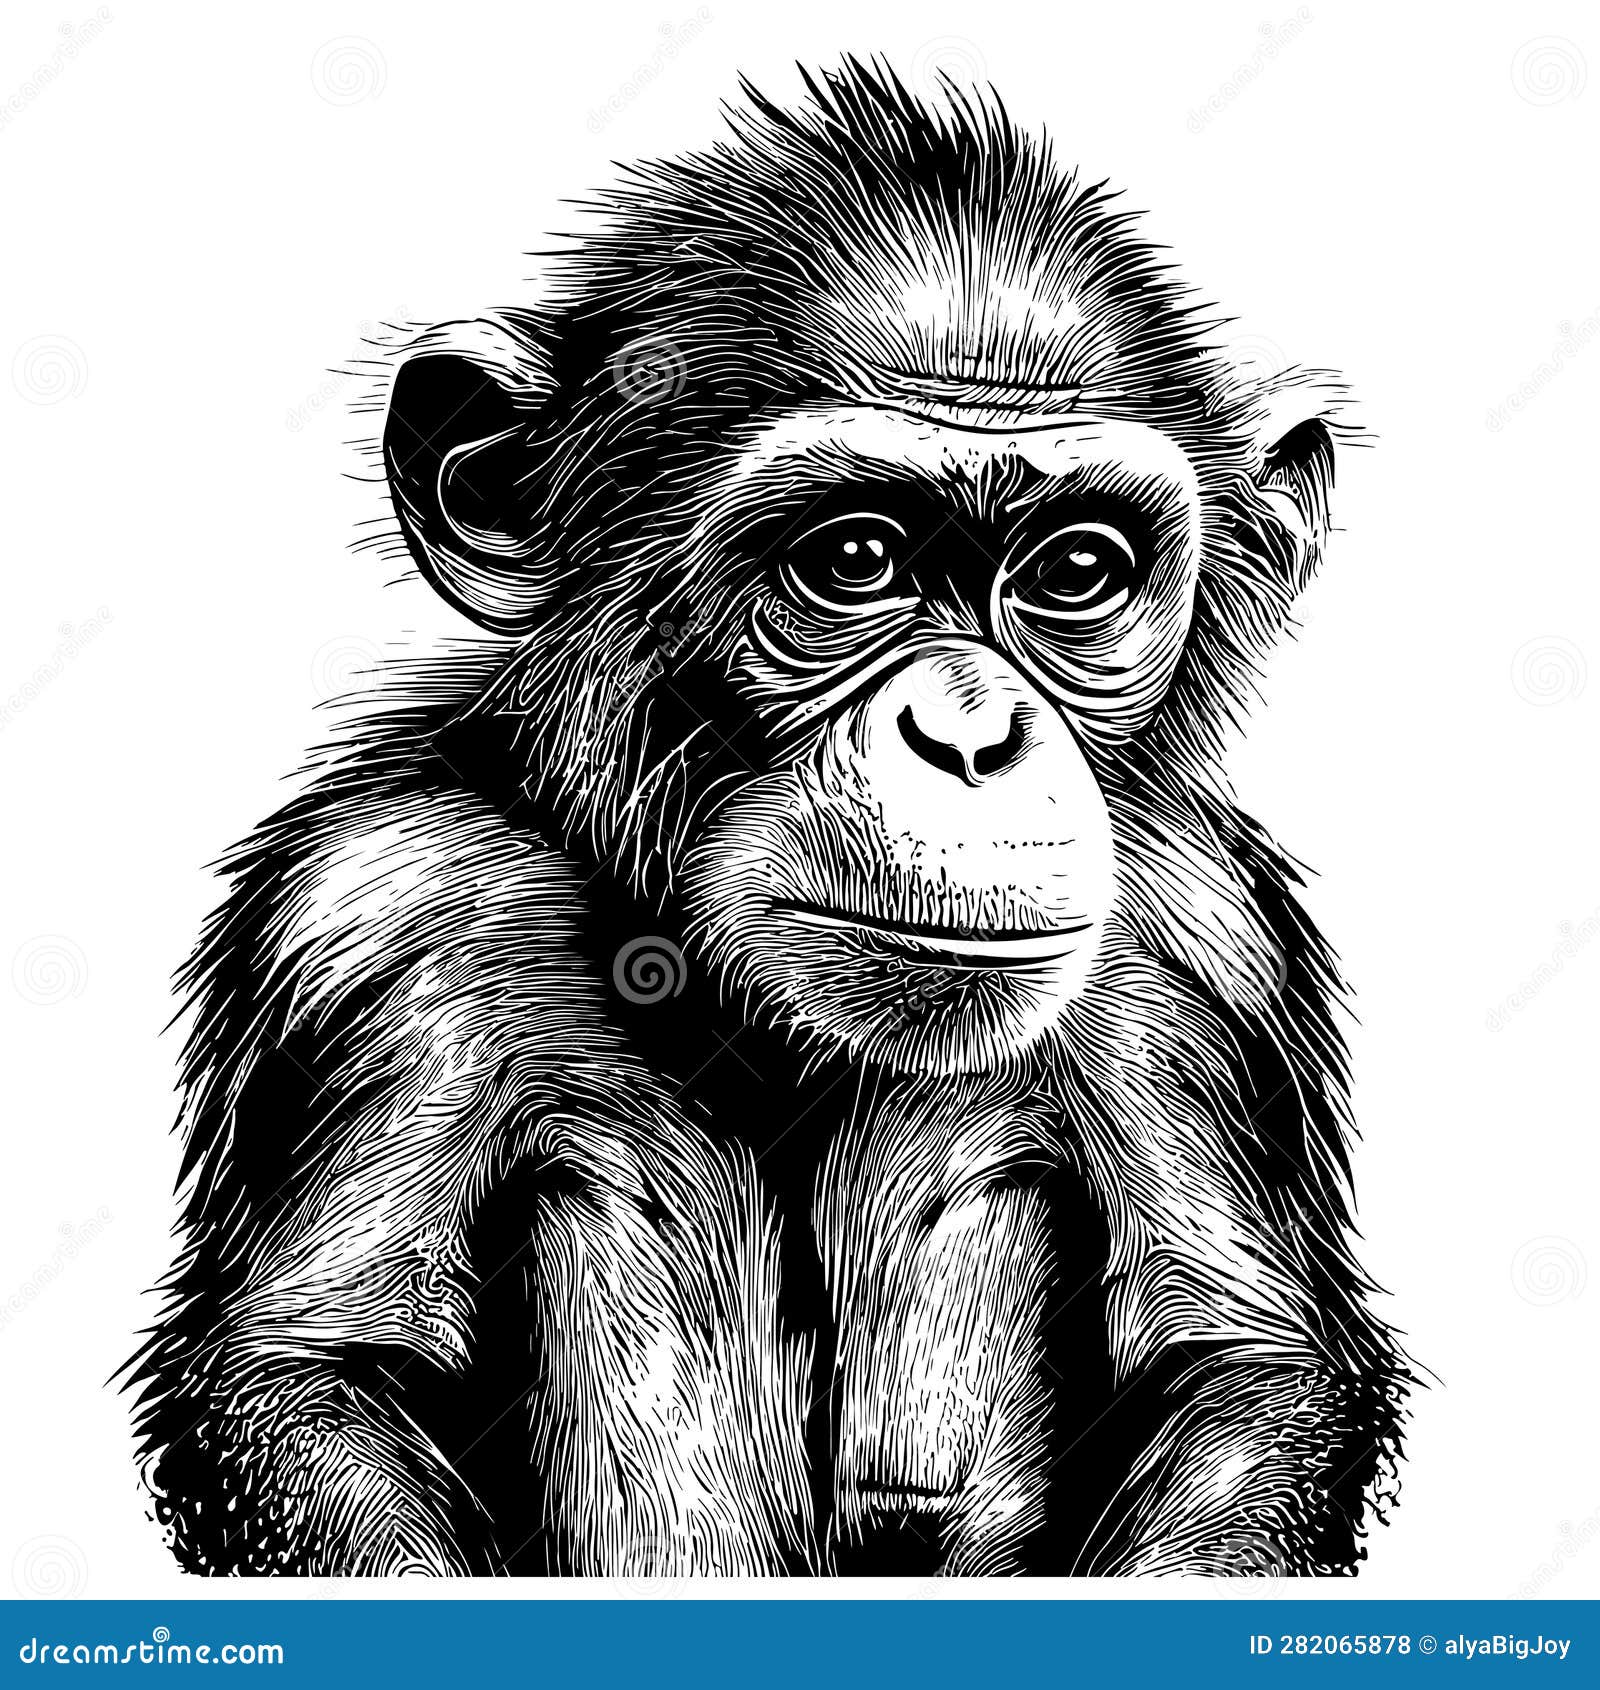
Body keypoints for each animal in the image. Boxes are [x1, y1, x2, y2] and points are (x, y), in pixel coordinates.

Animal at [130, 62, 1407, 1577]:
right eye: (855, 559)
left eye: (1077, 574)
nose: (969, 735)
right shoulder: (372, 917)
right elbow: (309, 1373)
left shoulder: (1208, 951)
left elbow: (1245, 1366)